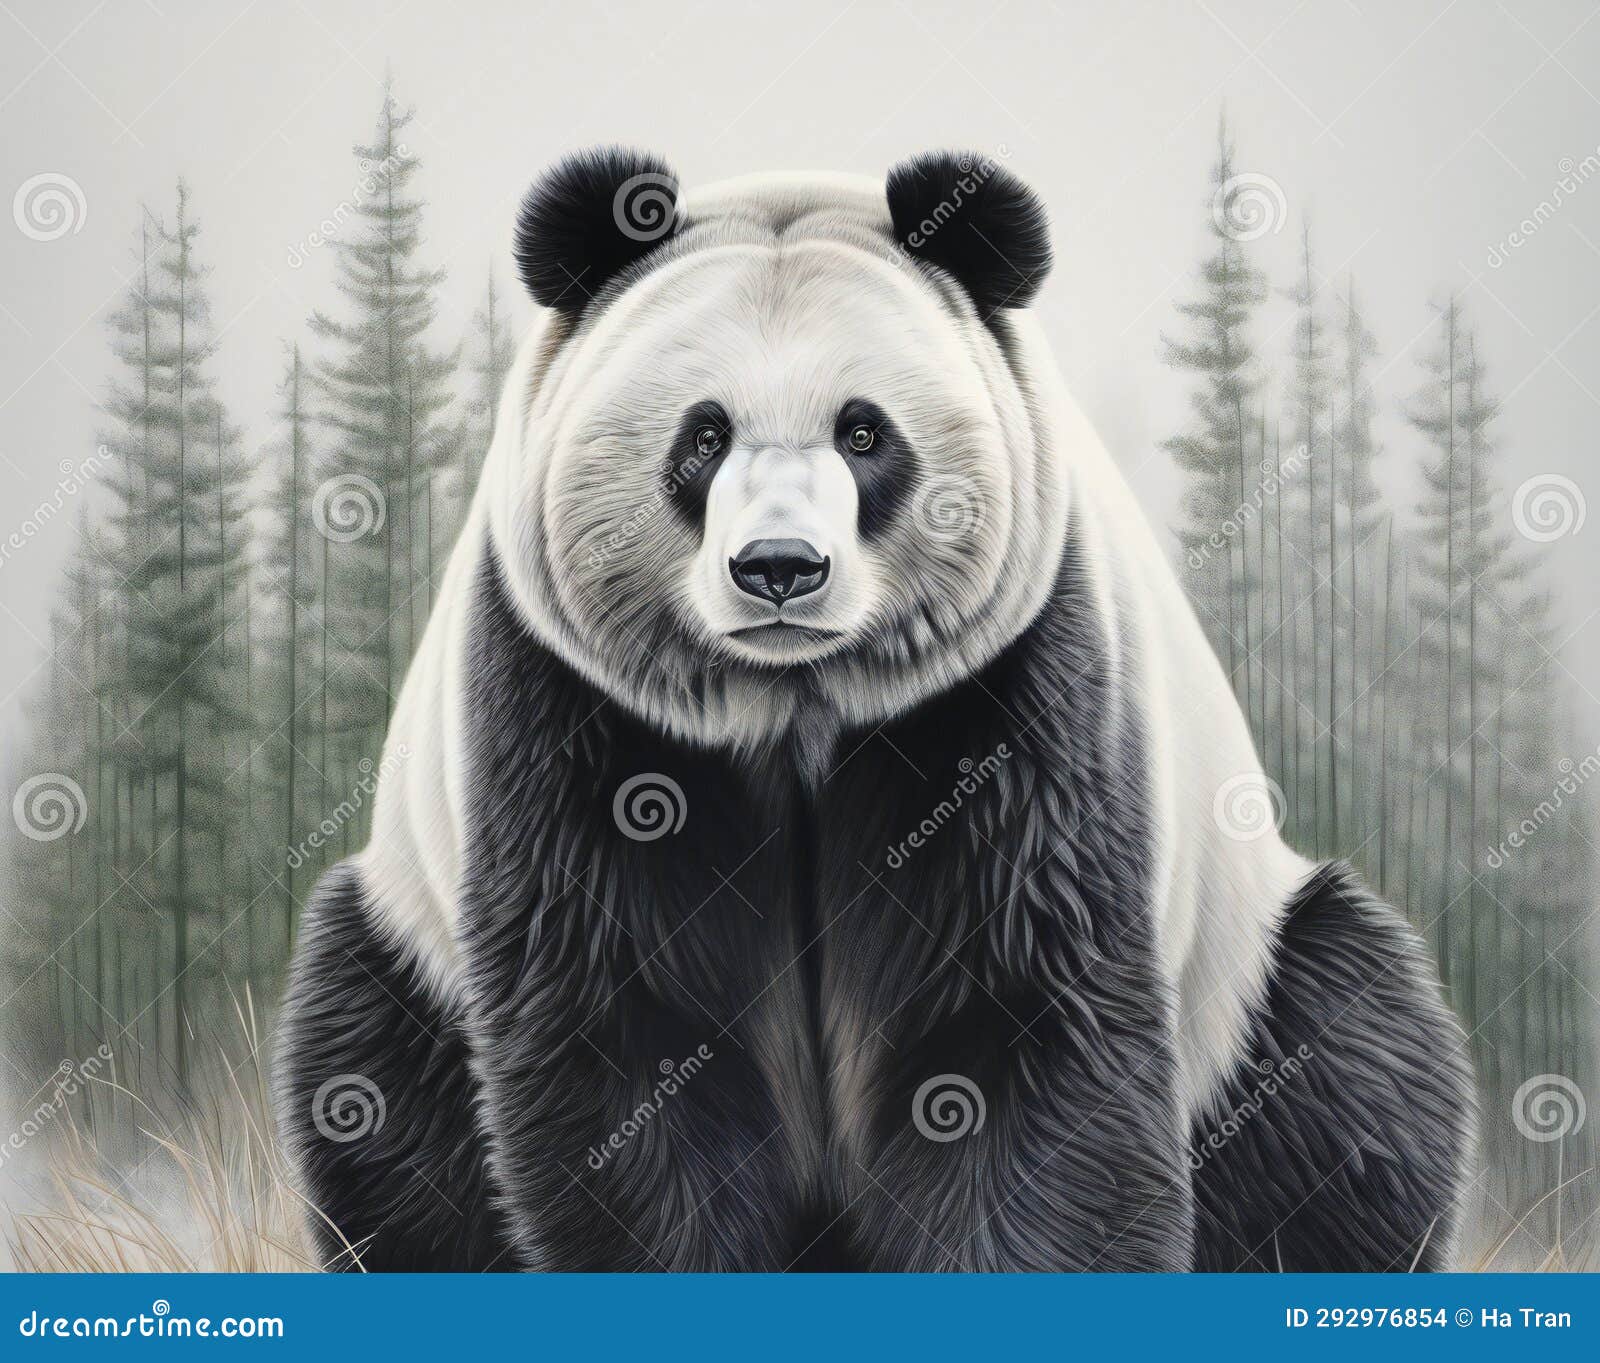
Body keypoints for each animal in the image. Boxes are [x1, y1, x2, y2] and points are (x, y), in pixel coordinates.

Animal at [275, 148, 1473, 1272]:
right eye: (703, 437)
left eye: (863, 433)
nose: (779, 568)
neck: (793, 705)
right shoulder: (579, 705)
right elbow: (623, 1037)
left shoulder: (1005, 685)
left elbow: (1019, 1024)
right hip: (408, 944)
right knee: (373, 1089)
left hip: (1243, 959)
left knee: (1348, 1067)